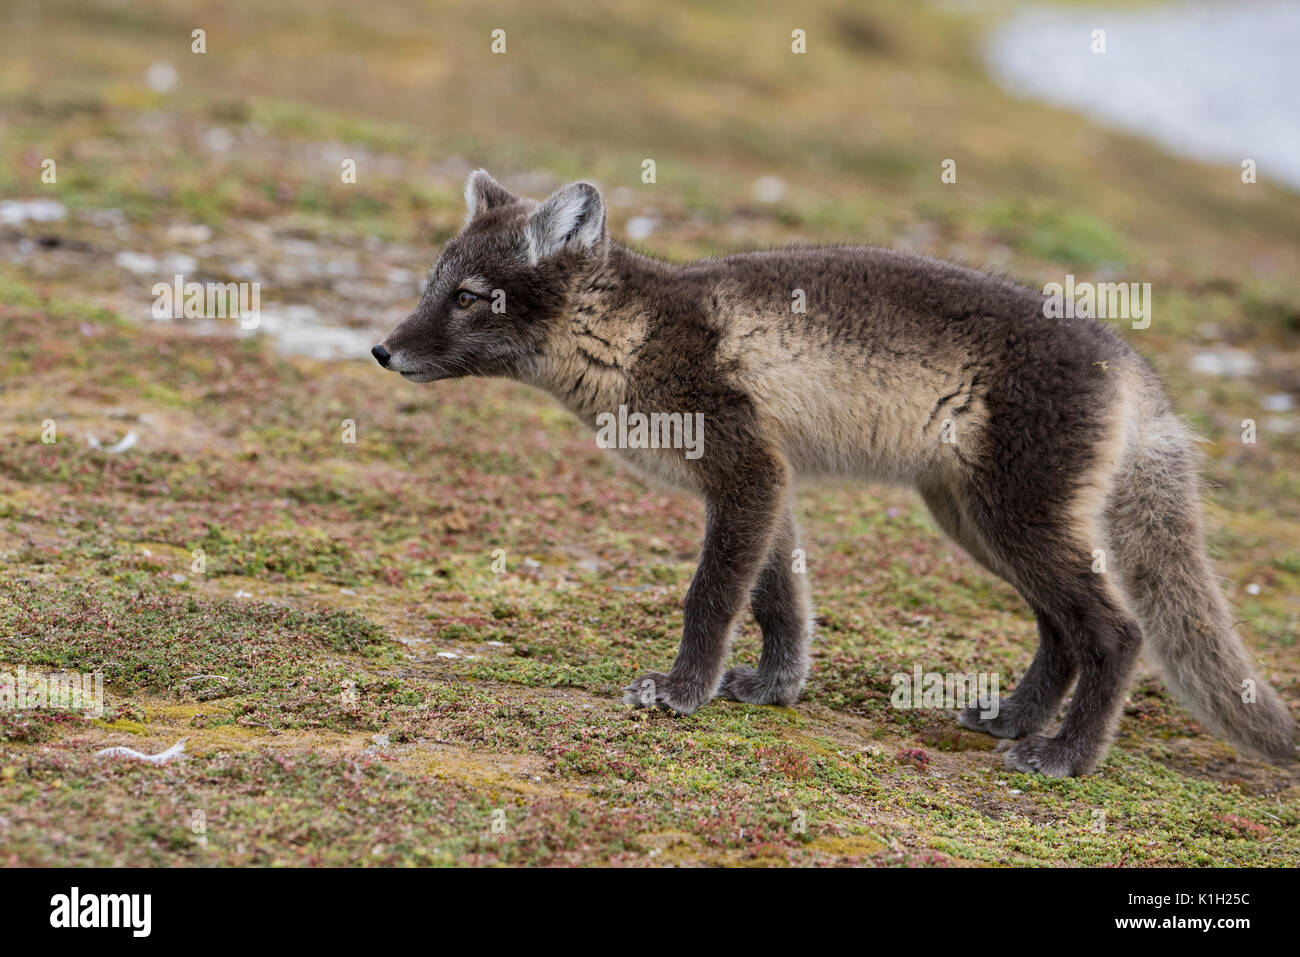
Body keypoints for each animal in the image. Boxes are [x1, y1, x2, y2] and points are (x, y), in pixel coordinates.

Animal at [373, 170, 1295, 777]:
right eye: (432, 284)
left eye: (469, 296)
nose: (380, 350)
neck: (631, 334)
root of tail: (1131, 364)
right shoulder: (767, 482)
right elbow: (781, 599)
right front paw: (773, 689)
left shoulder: (746, 471)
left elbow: (711, 596)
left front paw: (680, 693)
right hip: (976, 520)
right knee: (1062, 629)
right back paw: (1010, 719)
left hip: (1015, 518)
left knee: (1115, 629)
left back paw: (1064, 755)